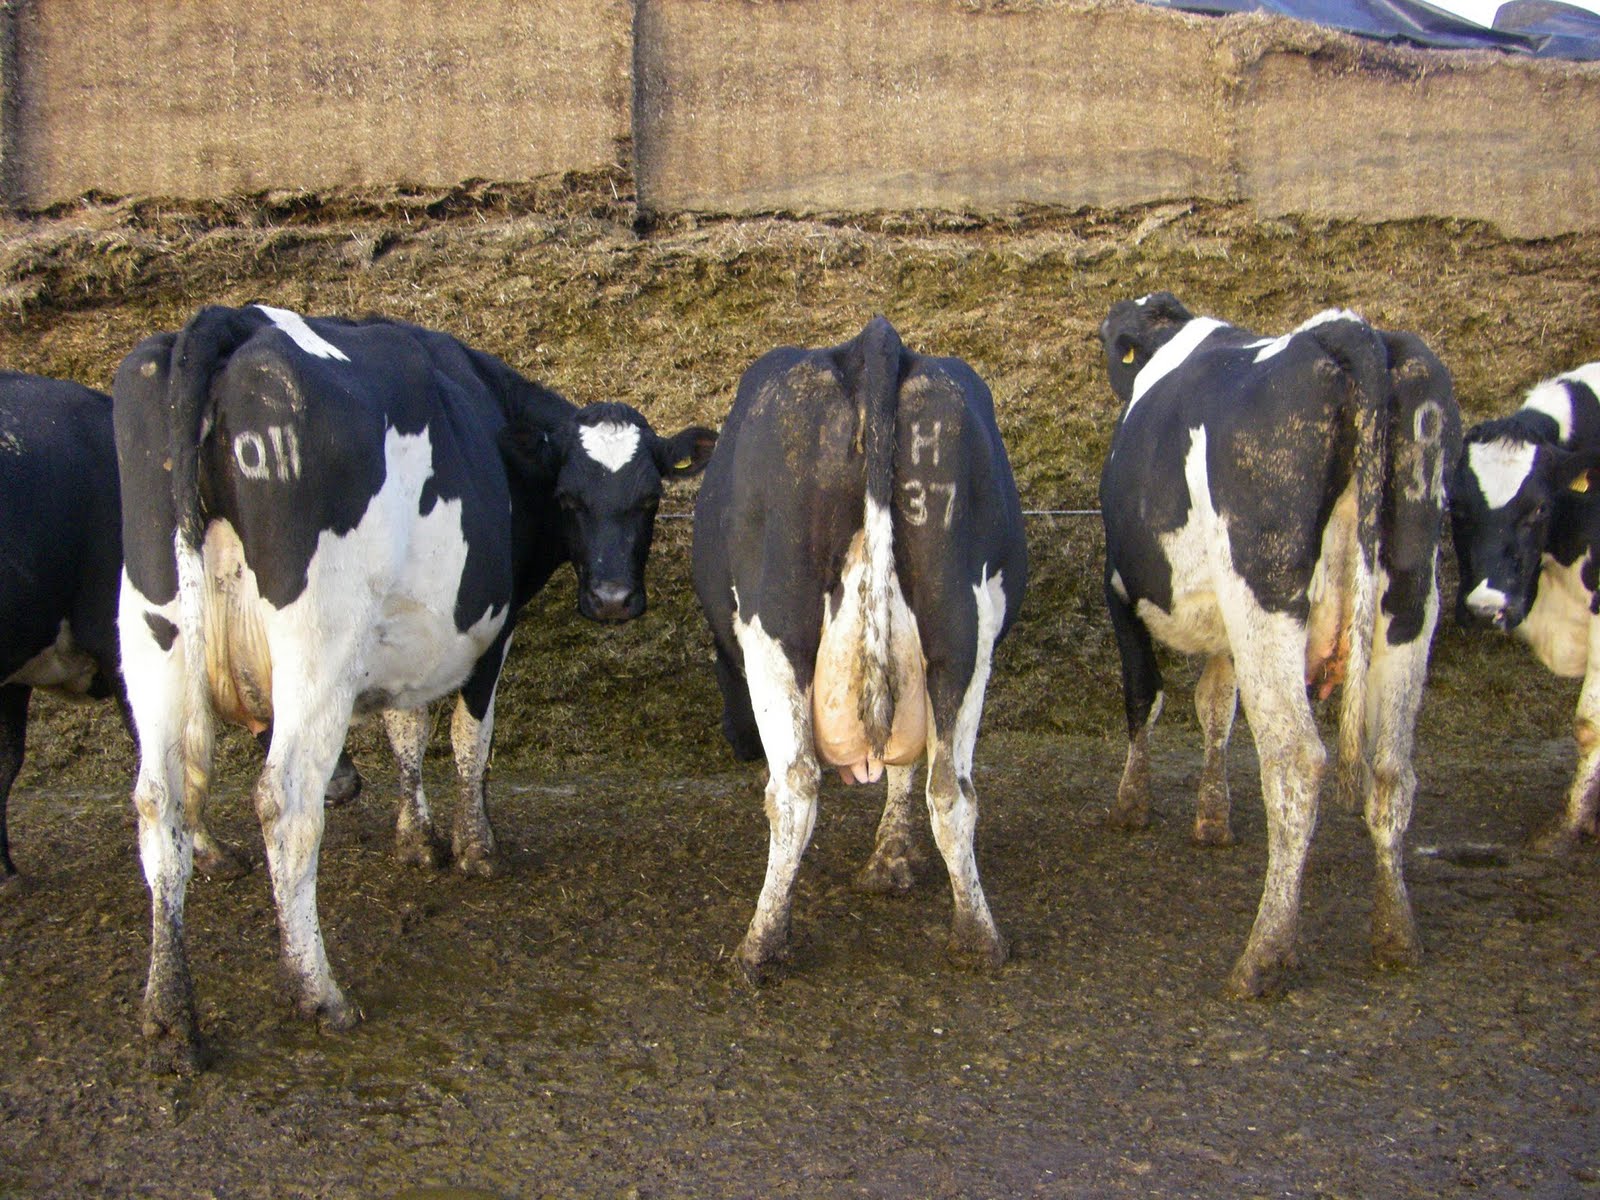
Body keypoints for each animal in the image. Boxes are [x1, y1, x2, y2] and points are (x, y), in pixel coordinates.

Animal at [114, 303, 715, 1071]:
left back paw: (169, 1015)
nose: (612, 600)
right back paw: (318, 991)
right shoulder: (492, 622)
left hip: (153, 626)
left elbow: (407, 729)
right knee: (285, 802)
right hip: (315, 643)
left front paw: (416, 839)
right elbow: (468, 737)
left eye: (648, 499)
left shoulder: (409, 630)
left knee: (159, 802)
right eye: (569, 498)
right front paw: (476, 847)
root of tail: (235, 322)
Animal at [692, 317, 1027, 979]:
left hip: (777, 626)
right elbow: (905, 760)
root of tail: (873, 341)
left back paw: (760, 946)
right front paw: (892, 860)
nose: (736, 743)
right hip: (962, 634)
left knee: (794, 788)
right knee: (952, 792)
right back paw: (979, 936)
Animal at [1098, 292, 1459, 997]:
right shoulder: (1225, 627)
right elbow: (1215, 706)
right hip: (1409, 594)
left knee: (1297, 759)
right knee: (1392, 769)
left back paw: (1264, 951)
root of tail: (1349, 331)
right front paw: (1212, 817)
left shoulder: (1121, 587)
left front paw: (1131, 805)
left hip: (1264, 589)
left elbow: (1144, 698)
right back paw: (1396, 935)